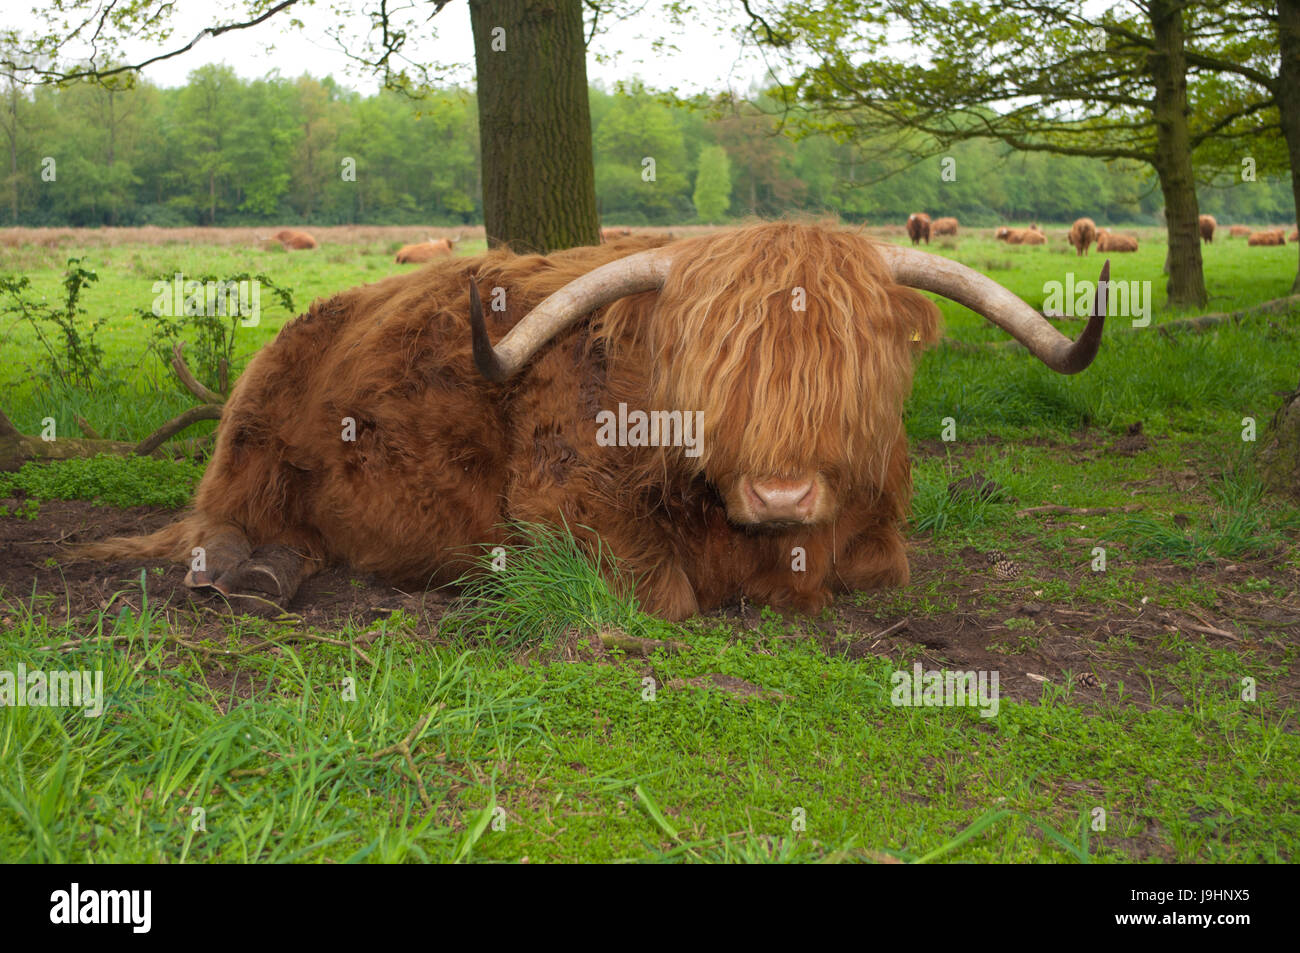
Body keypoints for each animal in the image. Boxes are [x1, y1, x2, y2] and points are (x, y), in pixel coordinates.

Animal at [80, 223, 1108, 621]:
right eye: (708, 360)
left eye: (853, 369)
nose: (781, 491)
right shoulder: (563, 504)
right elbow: (669, 594)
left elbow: (879, 570)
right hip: (252, 445)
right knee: (224, 519)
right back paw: (244, 574)